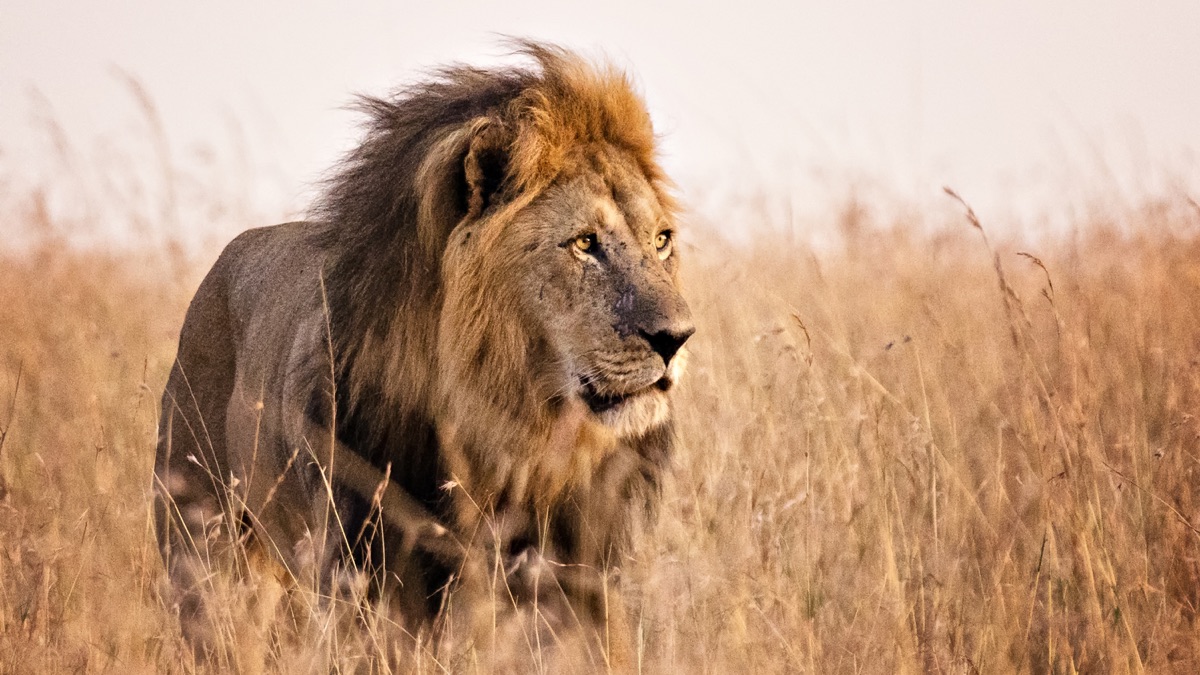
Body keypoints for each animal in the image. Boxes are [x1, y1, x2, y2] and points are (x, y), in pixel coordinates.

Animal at [154, 42, 693, 667]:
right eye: (585, 243)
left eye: (662, 241)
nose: (679, 337)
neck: (513, 431)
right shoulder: (369, 575)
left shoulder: (581, 575)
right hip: (204, 552)